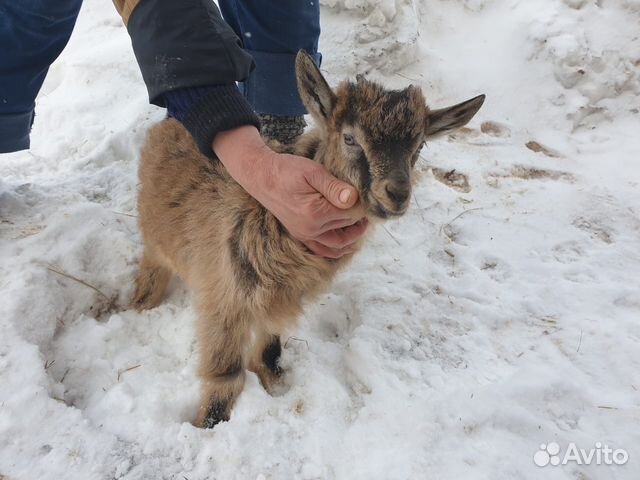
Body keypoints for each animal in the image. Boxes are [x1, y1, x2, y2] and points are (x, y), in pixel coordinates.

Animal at [132, 50, 485, 428]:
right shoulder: (225, 298)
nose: (398, 194)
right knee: (152, 264)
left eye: (418, 146)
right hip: (155, 239)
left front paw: (275, 384)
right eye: (350, 139)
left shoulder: (274, 298)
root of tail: (171, 122)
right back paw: (141, 302)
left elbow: (269, 349)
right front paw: (208, 426)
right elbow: (226, 377)